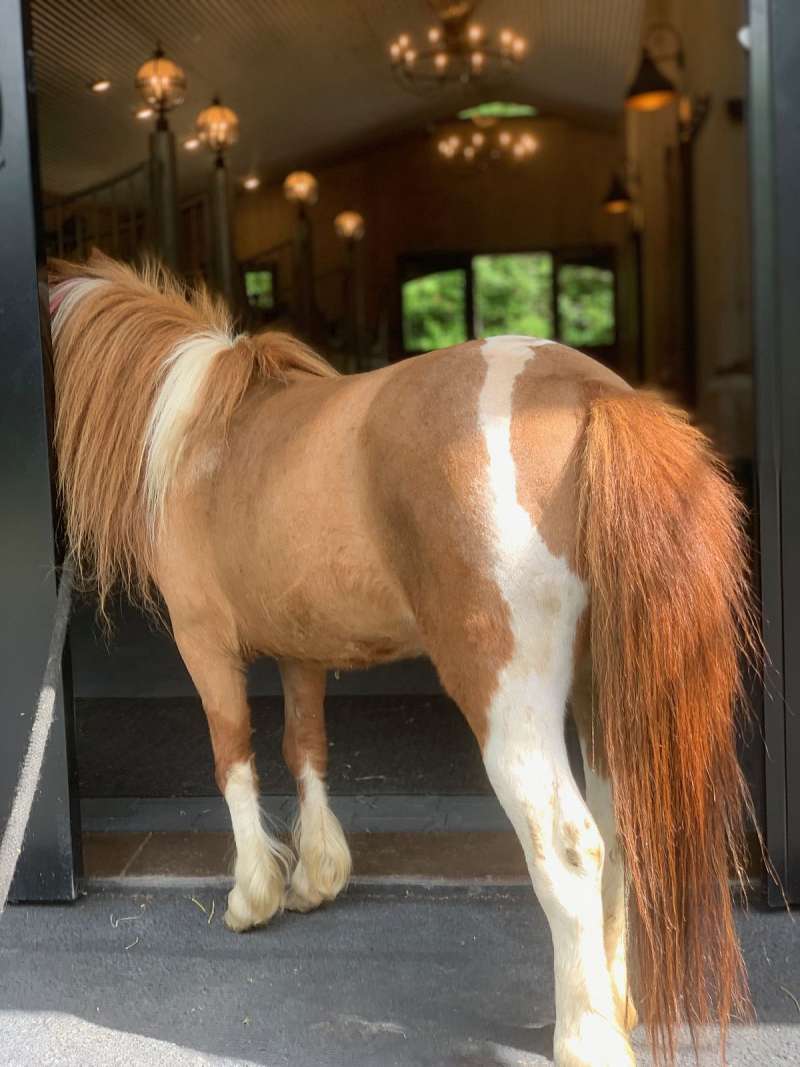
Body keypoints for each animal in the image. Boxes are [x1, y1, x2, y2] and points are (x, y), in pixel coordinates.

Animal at [48, 251, 753, 1066]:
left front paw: (253, 894)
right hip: (603, 693)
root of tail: (590, 398)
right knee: (620, 834)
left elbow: (233, 757)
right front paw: (317, 876)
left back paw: (585, 1036)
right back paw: (616, 1006)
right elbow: (305, 747)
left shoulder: (204, 642)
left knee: (569, 846)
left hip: (511, 705)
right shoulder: (302, 650)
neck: (193, 438)